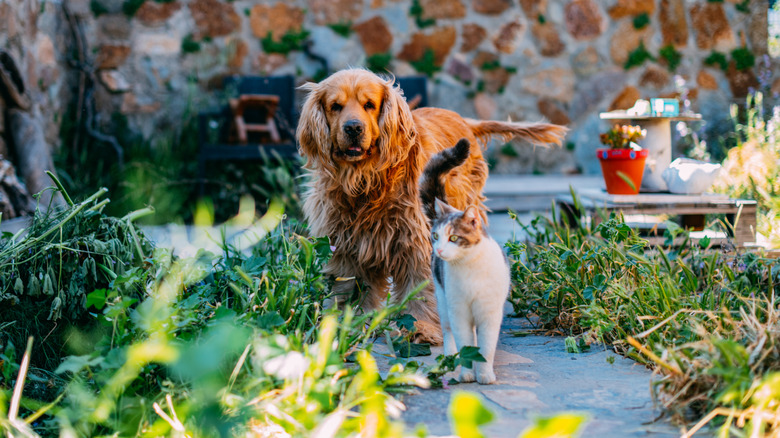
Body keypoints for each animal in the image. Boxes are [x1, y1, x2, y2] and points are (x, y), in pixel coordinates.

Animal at [296, 68, 564, 344]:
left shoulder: (417, 239)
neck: (366, 181)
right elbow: (349, 287)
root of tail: (464, 120)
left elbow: (420, 287)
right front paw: (343, 325)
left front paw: (419, 326)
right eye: (335, 106)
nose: (353, 128)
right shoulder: (346, 243)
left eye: (369, 104)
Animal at [420, 139, 512, 384]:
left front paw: (485, 374)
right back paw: (450, 357)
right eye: (435, 236)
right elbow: (465, 344)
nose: (439, 249)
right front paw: (467, 374)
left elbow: (486, 347)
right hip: (443, 301)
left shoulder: (489, 314)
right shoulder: (459, 311)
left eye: (454, 238)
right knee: (448, 331)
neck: (469, 269)